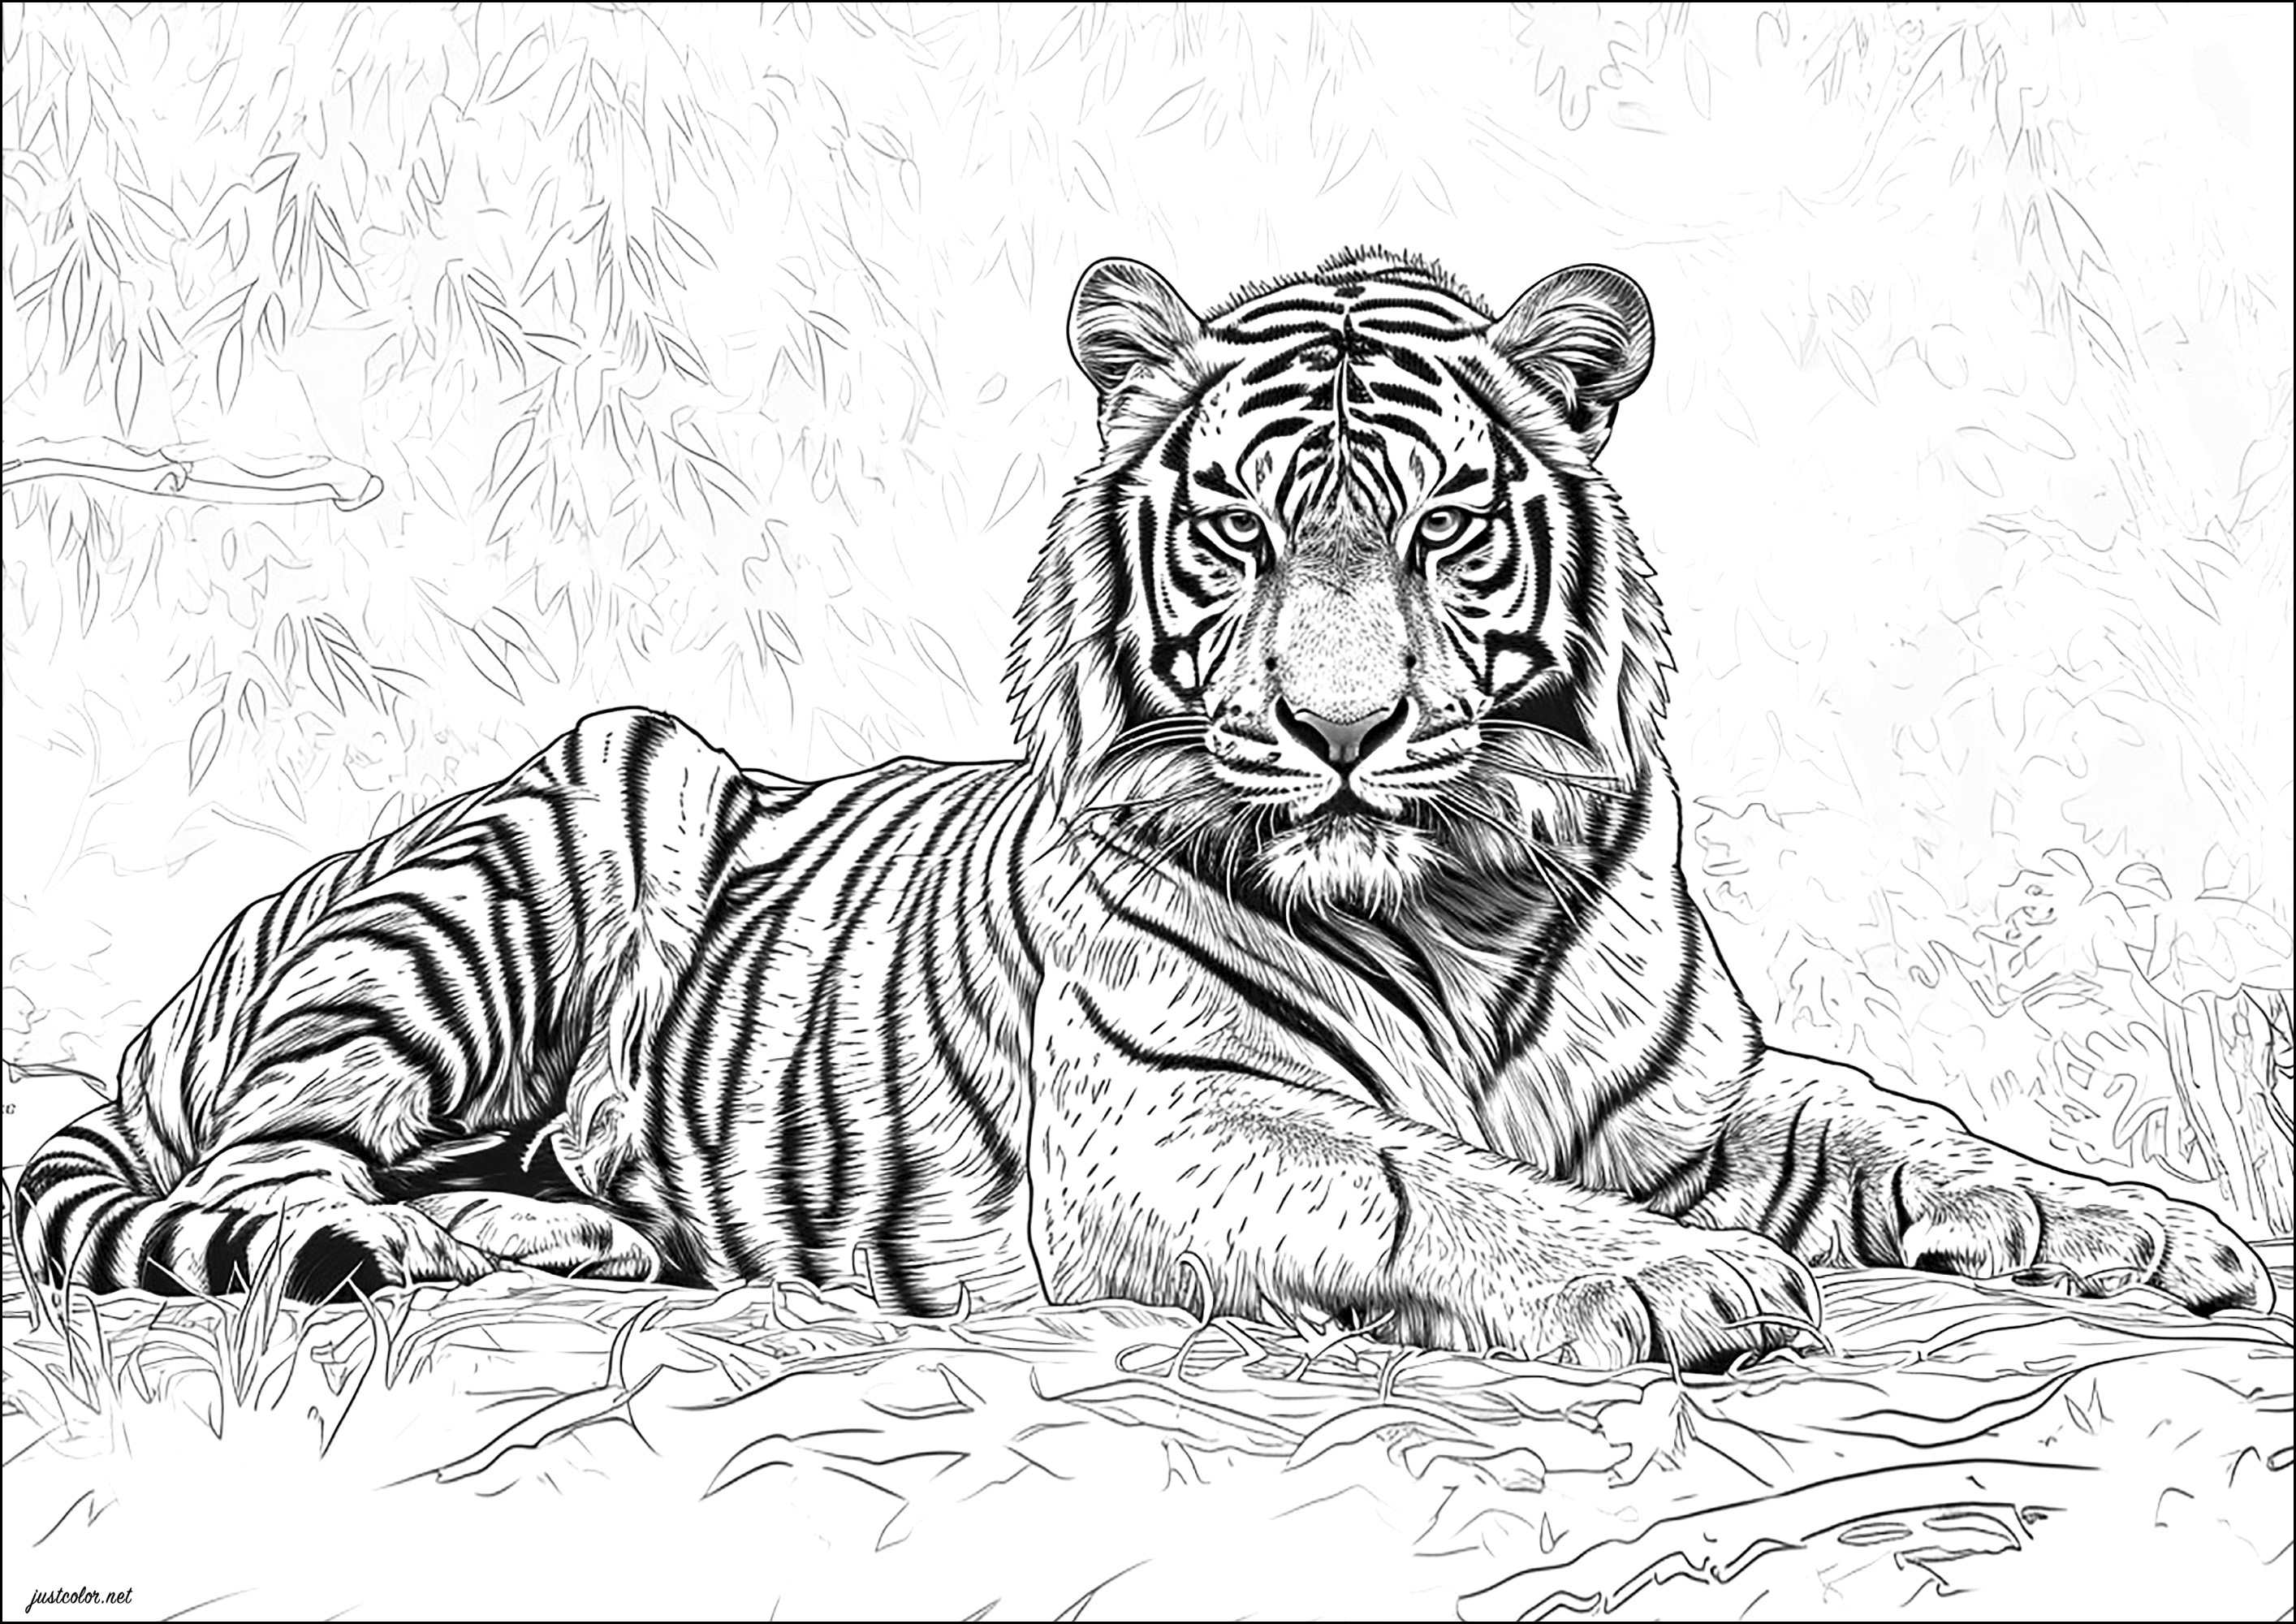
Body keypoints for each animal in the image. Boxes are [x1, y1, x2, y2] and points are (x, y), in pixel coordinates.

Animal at [12, 248, 2271, 1372]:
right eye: (1240, 535)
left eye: (1443, 532)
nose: (1344, 728)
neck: (1446, 899)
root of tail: (185, 991)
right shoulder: (1160, 1123)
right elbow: (1411, 1172)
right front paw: (1686, 1286)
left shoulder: (1693, 1102)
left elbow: (1917, 1130)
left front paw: (2172, 1231)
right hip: (555, 826)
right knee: (284, 1175)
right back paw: (464, 1236)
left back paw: (575, 1228)